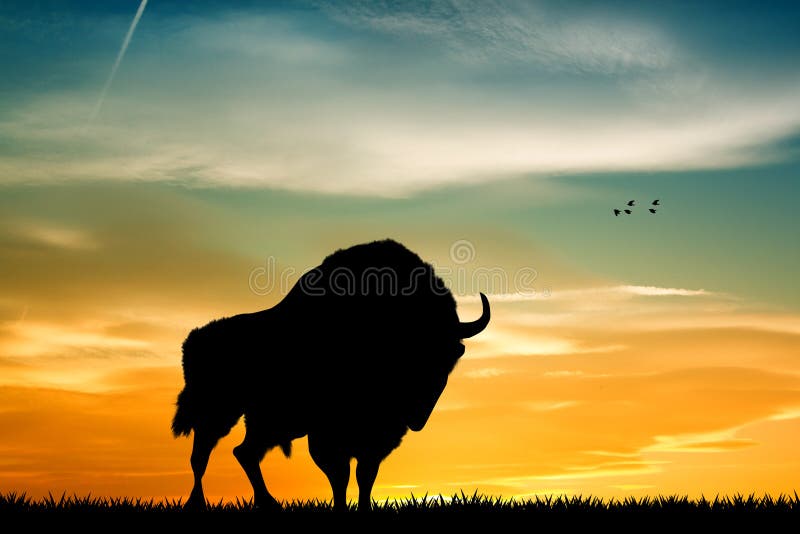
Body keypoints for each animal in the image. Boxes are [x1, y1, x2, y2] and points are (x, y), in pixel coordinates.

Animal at [171, 239, 490, 510]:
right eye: (413, 350)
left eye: (445, 359)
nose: (418, 416)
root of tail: (194, 341)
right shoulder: (327, 434)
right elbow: (339, 475)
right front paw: (340, 508)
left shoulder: (376, 437)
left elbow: (365, 475)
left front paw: (363, 510)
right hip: (220, 413)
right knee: (203, 455)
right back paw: (198, 504)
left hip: (262, 422)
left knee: (243, 452)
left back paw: (267, 504)